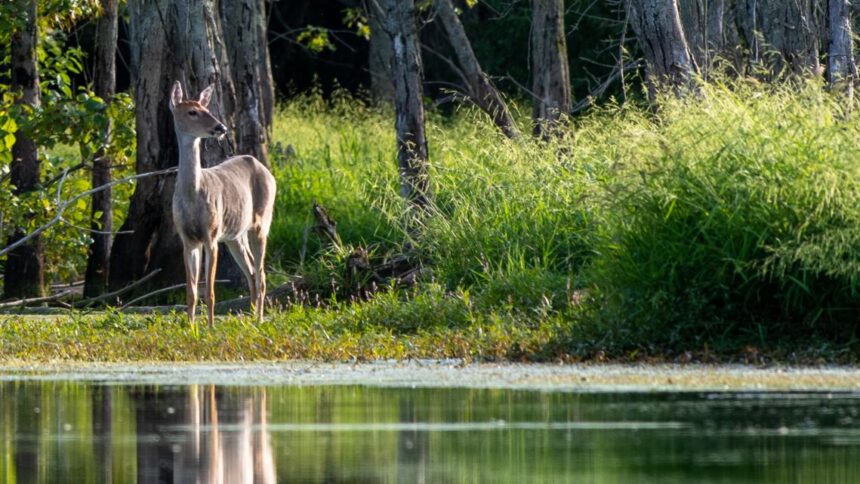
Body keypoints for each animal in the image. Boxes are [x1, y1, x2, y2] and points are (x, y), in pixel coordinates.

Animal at [168, 81, 276, 327]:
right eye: (192, 111)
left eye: (206, 109)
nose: (221, 127)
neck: (192, 196)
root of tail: (265, 170)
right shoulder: (188, 239)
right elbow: (191, 291)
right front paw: (190, 327)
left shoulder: (212, 235)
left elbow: (209, 291)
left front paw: (210, 327)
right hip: (235, 236)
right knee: (252, 272)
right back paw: (250, 317)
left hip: (261, 224)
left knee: (262, 274)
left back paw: (259, 319)